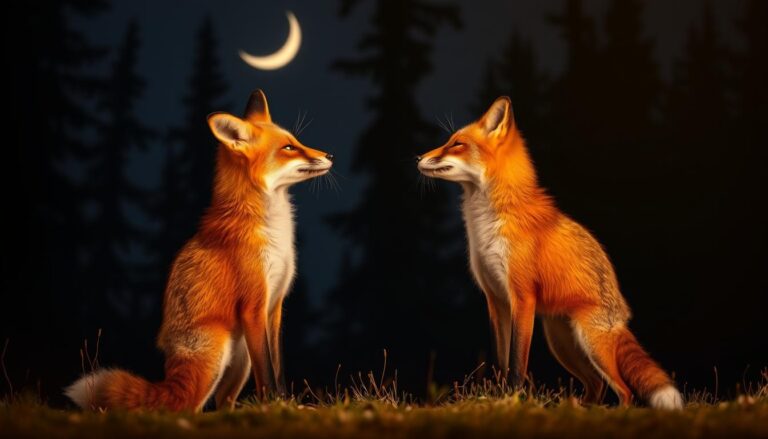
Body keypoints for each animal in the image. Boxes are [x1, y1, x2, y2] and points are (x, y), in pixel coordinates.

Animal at [65, 89, 334, 411]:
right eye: (289, 148)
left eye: (295, 141)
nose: (330, 156)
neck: (272, 230)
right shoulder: (254, 306)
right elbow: (267, 373)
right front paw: (274, 405)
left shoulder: (275, 306)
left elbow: (278, 367)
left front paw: (285, 404)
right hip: (216, 357)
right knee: (186, 407)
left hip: (239, 361)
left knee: (221, 402)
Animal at [416, 96, 683, 409]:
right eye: (449, 141)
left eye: (456, 144)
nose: (418, 157)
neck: (487, 222)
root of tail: (621, 313)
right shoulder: (495, 299)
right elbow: (500, 359)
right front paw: (496, 396)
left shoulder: (522, 298)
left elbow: (517, 363)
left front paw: (512, 398)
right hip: (562, 344)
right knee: (596, 386)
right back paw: (580, 409)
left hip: (589, 344)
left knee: (624, 390)